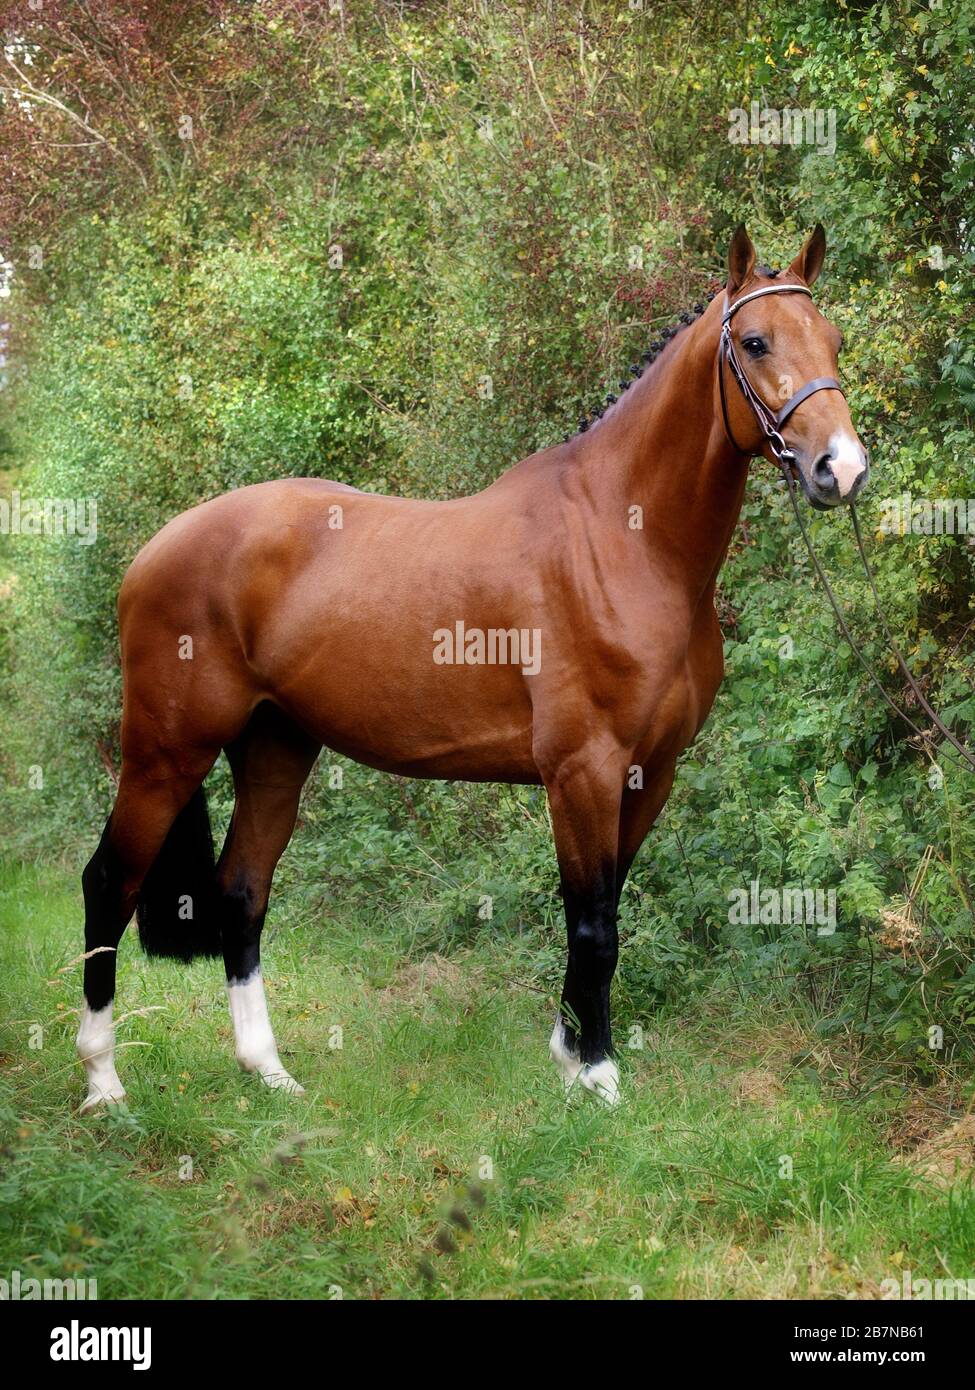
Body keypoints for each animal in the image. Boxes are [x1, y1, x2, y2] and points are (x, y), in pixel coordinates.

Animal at [76, 225, 868, 1112]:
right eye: (755, 341)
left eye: (833, 339)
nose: (840, 467)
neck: (622, 538)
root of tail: (155, 549)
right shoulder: (582, 772)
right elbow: (593, 924)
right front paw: (598, 1076)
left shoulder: (648, 775)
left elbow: (603, 915)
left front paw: (569, 1054)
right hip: (165, 752)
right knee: (109, 884)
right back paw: (105, 1085)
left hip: (275, 747)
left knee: (242, 892)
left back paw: (268, 1072)